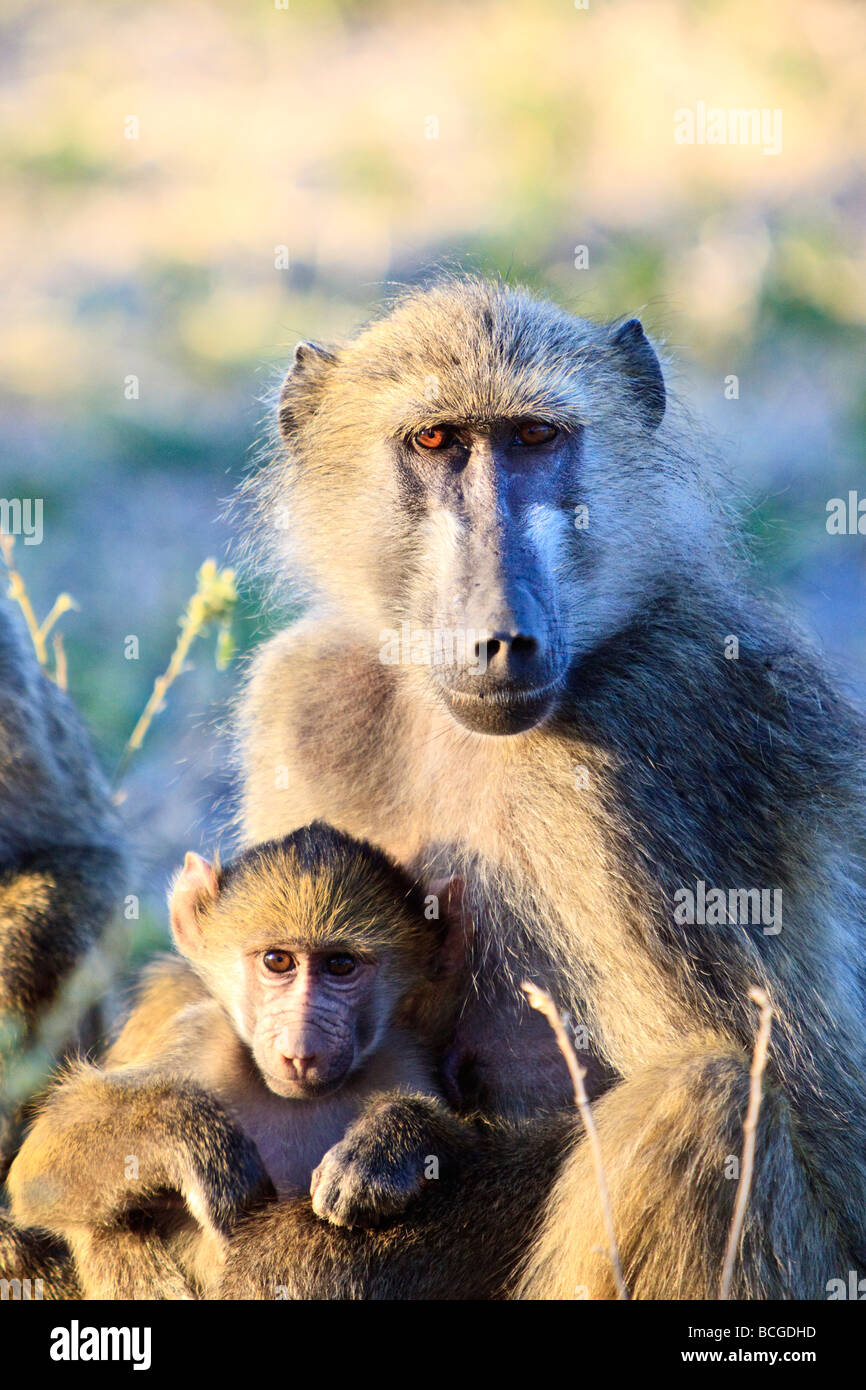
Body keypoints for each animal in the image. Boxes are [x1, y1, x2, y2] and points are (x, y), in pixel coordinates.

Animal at [6, 822, 510, 1298]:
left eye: (341, 965)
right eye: (277, 961)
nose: (301, 1050)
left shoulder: (403, 1061)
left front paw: (386, 1146)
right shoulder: (201, 1040)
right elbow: (39, 1164)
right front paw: (204, 1146)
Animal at [217, 273, 866, 1299]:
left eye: (534, 438)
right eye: (435, 442)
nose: (503, 638)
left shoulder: (635, 759)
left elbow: (802, 1111)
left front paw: (392, 1153)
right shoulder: (302, 695)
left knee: (705, 1099)